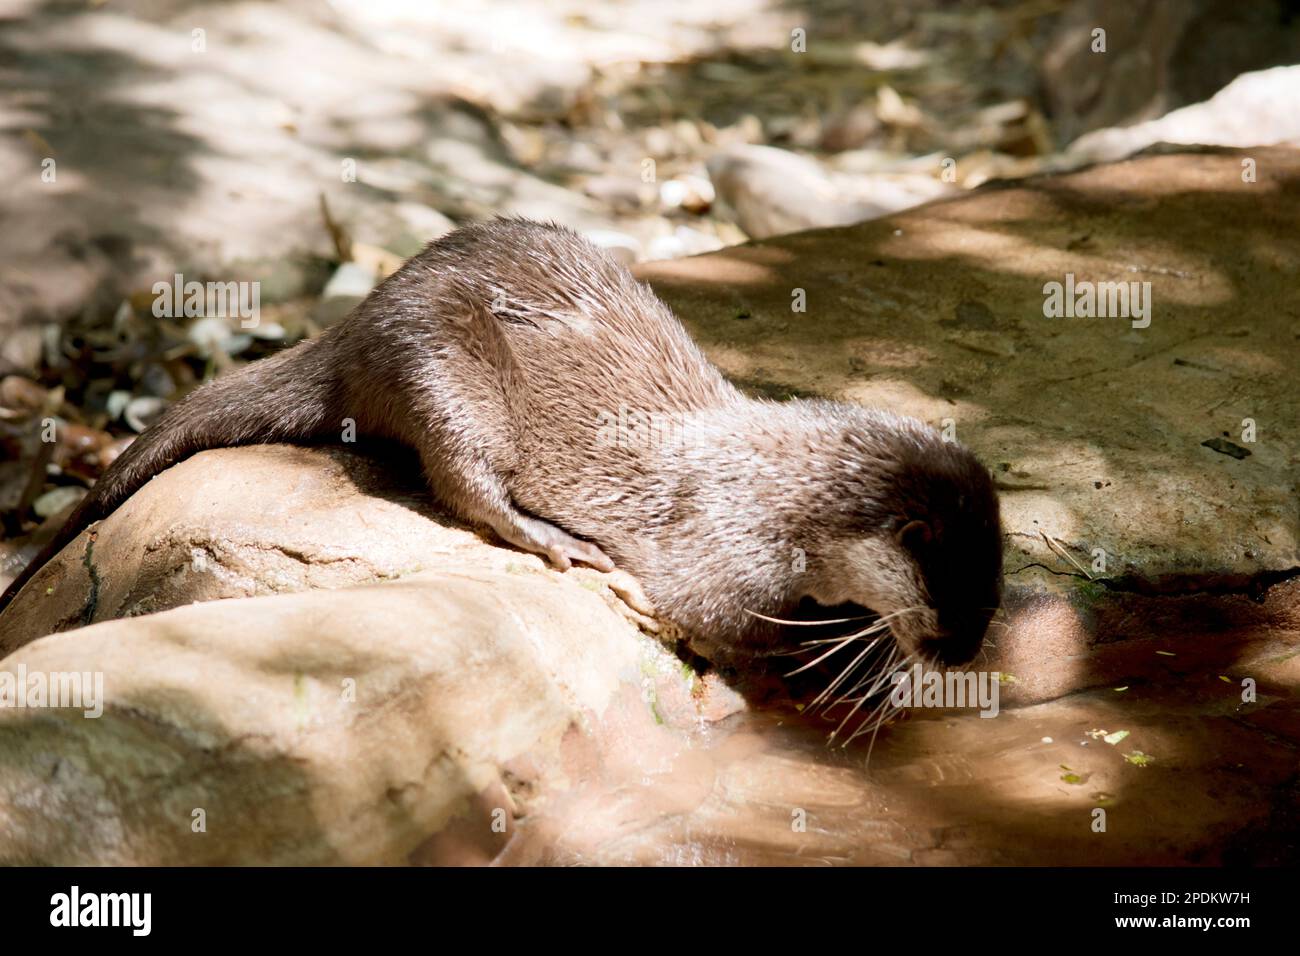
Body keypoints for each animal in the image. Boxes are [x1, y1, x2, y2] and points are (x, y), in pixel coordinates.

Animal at [0, 218, 1002, 678]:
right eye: (950, 595)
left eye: (992, 592)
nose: (962, 657)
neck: (783, 495)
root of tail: (359, 318)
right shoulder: (722, 554)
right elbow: (726, 626)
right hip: (443, 357)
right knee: (463, 480)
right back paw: (561, 543)